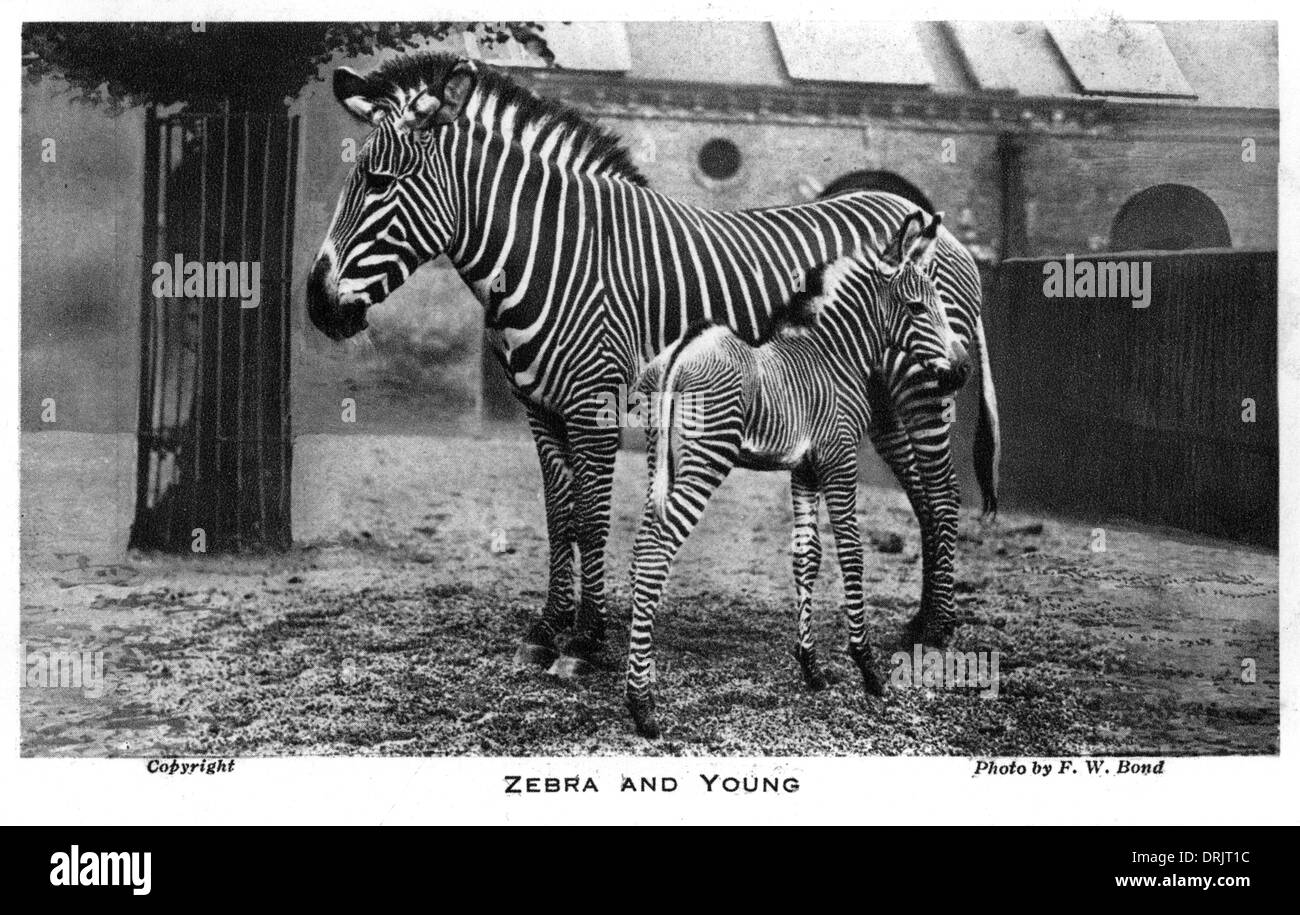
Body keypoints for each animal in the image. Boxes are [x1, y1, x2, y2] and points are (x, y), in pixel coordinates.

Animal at [305, 52, 1001, 680]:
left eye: (381, 183)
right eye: (354, 179)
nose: (317, 304)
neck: (554, 254)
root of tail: (931, 224)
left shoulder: (594, 402)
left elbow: (590, 516)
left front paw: (584, 642)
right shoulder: (539, 407)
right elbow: (559, 516)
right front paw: (546, 629)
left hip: (923, 386)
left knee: (943, 495)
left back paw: (936, 633)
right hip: (877, 397)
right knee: (923, 496)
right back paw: (918, 621)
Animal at [625, 211, 953, 738]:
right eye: (916, 306)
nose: (957, 373)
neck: (835, 356)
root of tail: (683, 350)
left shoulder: (805, 468)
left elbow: (807, 557)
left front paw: (811, 667)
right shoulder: (839, 460)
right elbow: (851, 554)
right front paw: (868, 668)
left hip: (661, 457)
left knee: (642, 548)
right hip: (707, 458)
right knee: (657, 551)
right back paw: (642, 705)